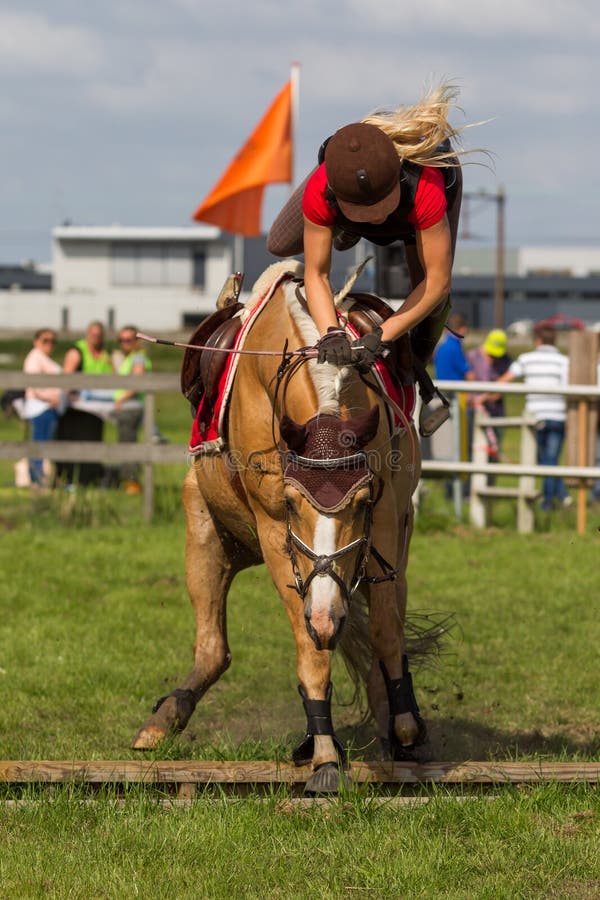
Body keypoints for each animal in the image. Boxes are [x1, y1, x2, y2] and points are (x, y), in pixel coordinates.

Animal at [132, 260, 433, 794]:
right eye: (292, 502)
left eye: (359, 501)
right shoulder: (277, 536)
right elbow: (311, 648)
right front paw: (326, 758)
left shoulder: (382, 518)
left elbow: (385, 631)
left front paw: (402, 726)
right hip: (206, 532)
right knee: (213, 648)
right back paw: (163, 721)